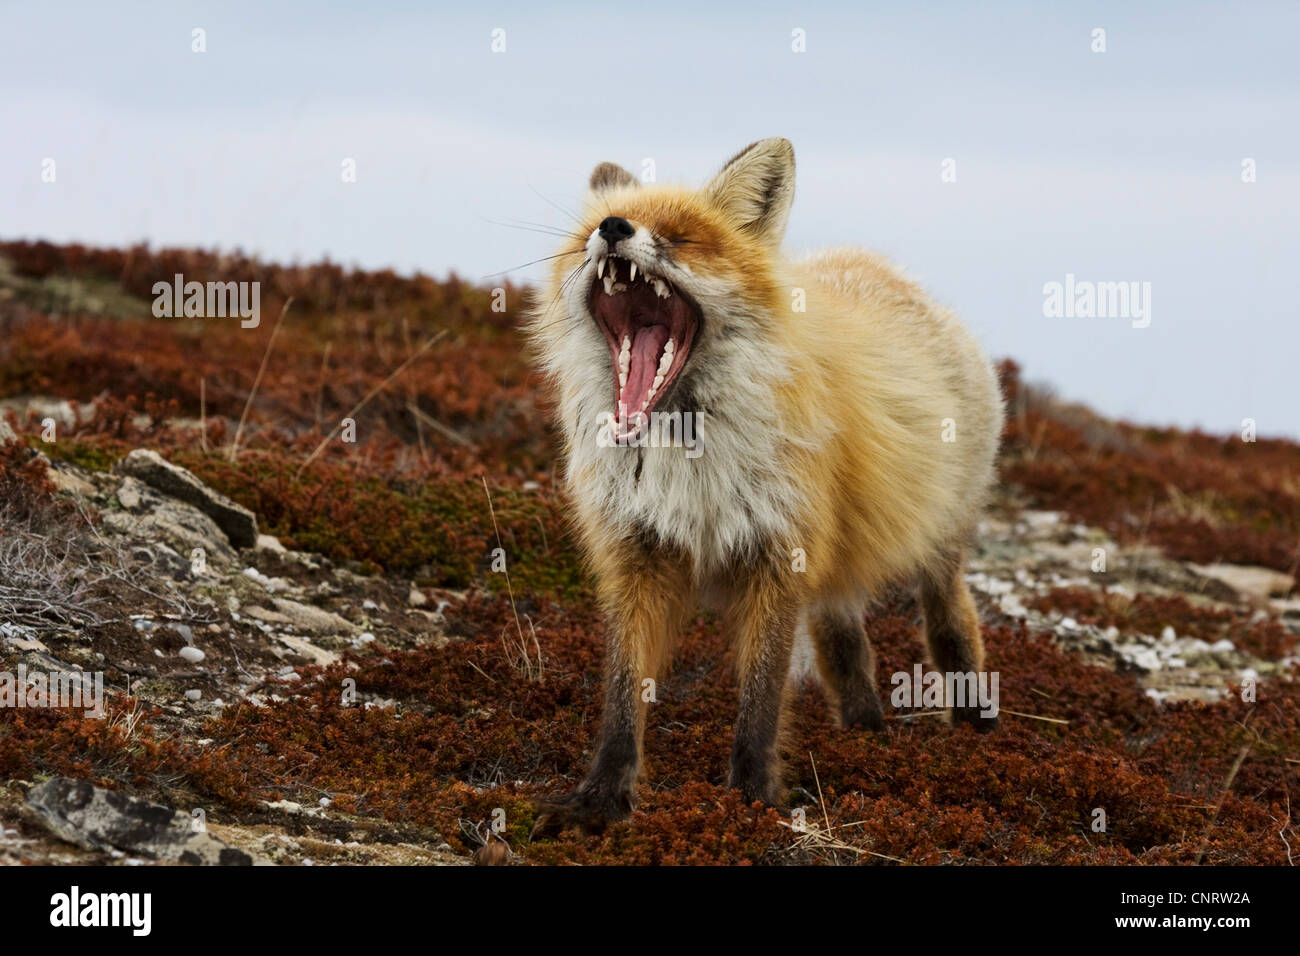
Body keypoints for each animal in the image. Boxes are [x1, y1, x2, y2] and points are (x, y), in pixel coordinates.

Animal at [527, 138, 1005, 836]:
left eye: (683, 238)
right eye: (592, 229)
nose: (612, 229)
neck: (688, 454)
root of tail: (884, 270)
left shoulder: (778, 557)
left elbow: (760, 700)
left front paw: (752, 800)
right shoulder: (638, 555)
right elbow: (622, 696)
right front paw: (600, 800)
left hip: (937, 549)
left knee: (952, 626)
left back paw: (977, 736)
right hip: (833, 577)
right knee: (845, 648)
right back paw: (866, 734)